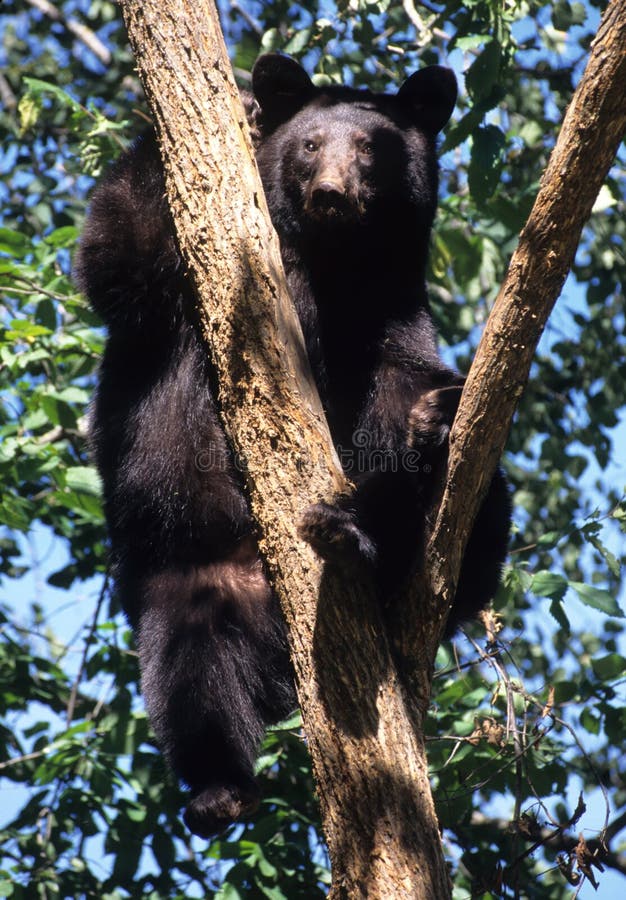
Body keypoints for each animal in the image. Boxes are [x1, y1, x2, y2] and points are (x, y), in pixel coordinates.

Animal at [74, 53, 511, 838]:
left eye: (371, 147)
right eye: (309, 145)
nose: (333, 194)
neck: (329, 261)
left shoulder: (387, 308)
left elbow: (400, 377)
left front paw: (430, 413)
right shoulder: (180, 287)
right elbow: (117, 255)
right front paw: (242, 110)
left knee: (480, 512)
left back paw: (355, 522)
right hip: (191, 576)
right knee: (192, 675)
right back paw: (219, 792)